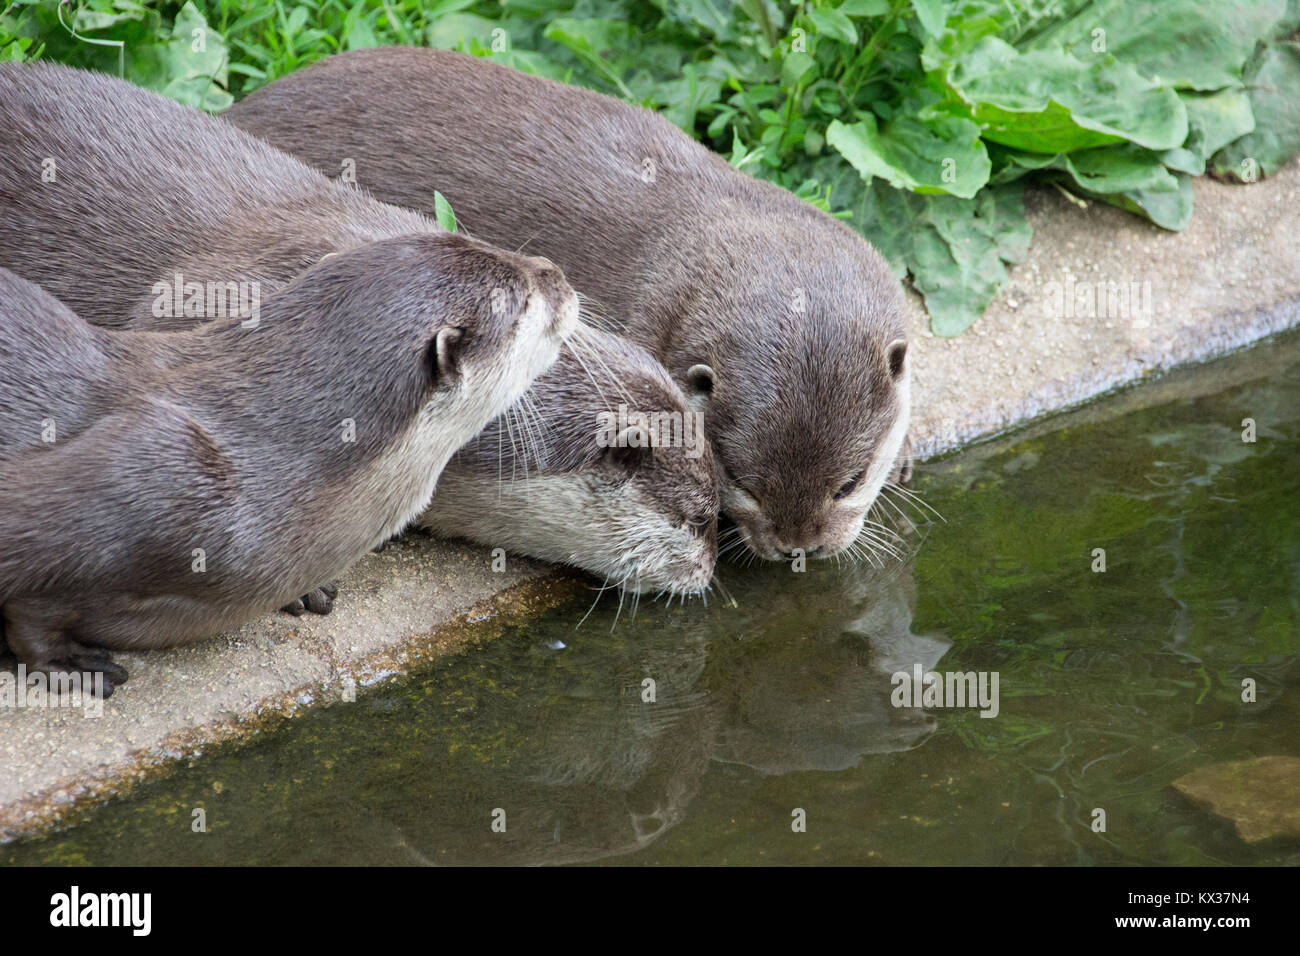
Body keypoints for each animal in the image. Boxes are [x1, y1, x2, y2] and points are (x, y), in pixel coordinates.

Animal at [0, 237, 574, 694]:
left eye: (490, 245)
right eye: (524, 299)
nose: (558, 271)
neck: (272, 470)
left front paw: (306, 591)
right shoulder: (155, 472)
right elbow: (32, 603)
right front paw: (66, 665)